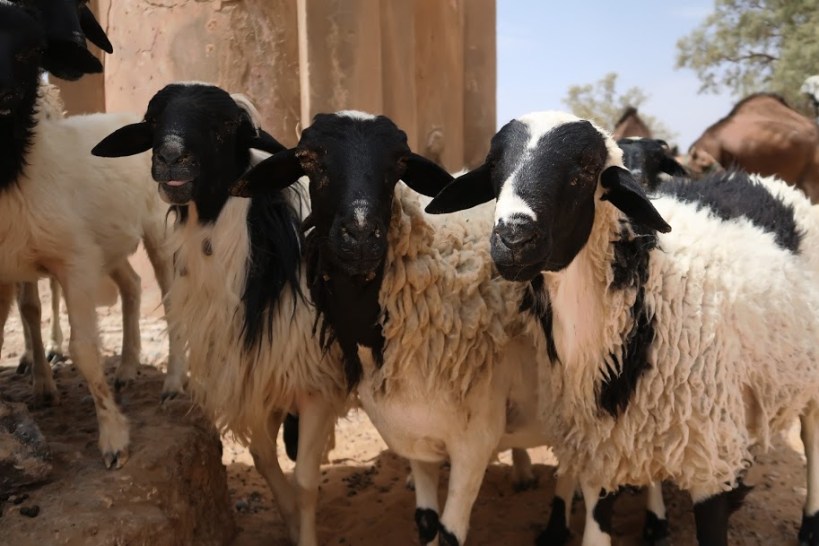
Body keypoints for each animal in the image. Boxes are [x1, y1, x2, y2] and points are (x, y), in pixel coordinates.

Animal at [0, 3, 186, 468]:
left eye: (32, 50)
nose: (4, 99)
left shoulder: (75, 262)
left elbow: (84, 349)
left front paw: (114, 439)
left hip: (160, 234)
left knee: (171, 300)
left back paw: (173, 383)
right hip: (108, 244)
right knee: (132, 285)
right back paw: (126, 368)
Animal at [91, 82, 350, 546]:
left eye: (228, 126)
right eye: (153, 121)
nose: (170, 157)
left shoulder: (315, 382)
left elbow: (304, 483)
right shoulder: (253, 372)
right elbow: (264, 460)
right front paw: (287, 520)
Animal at [232, 110, 566, 546]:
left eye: (400, 163)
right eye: (308, 159)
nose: (360, 236)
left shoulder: (475, 443)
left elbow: (449, 533)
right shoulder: (415, 435)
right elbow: (425, 521)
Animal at [426, 110, 819, 546]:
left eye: (585, 170)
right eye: (495, 166)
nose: (513, 238)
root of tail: (760, 179)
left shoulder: (709, 457)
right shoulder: (604, 451)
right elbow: (596, 529)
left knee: (812, 439)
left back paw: (809, 523)